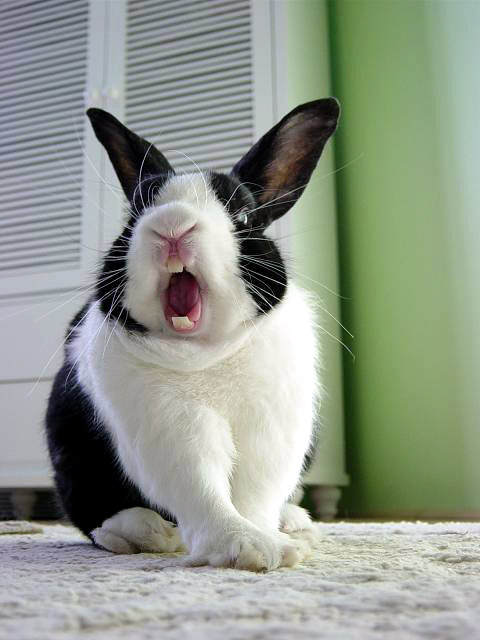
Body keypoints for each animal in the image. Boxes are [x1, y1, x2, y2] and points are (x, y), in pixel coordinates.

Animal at [45, 97, 340, 571]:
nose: (172, 225)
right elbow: (201, 487)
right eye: (135, 215)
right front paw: (246, 547)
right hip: (69, 447)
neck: (206, 351)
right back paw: (140, 531)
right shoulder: (171, 428)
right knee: (88, 509)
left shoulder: (272, 430)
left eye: (242, 215)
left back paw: (295, 522)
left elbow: (256, 494)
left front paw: (272, 542)